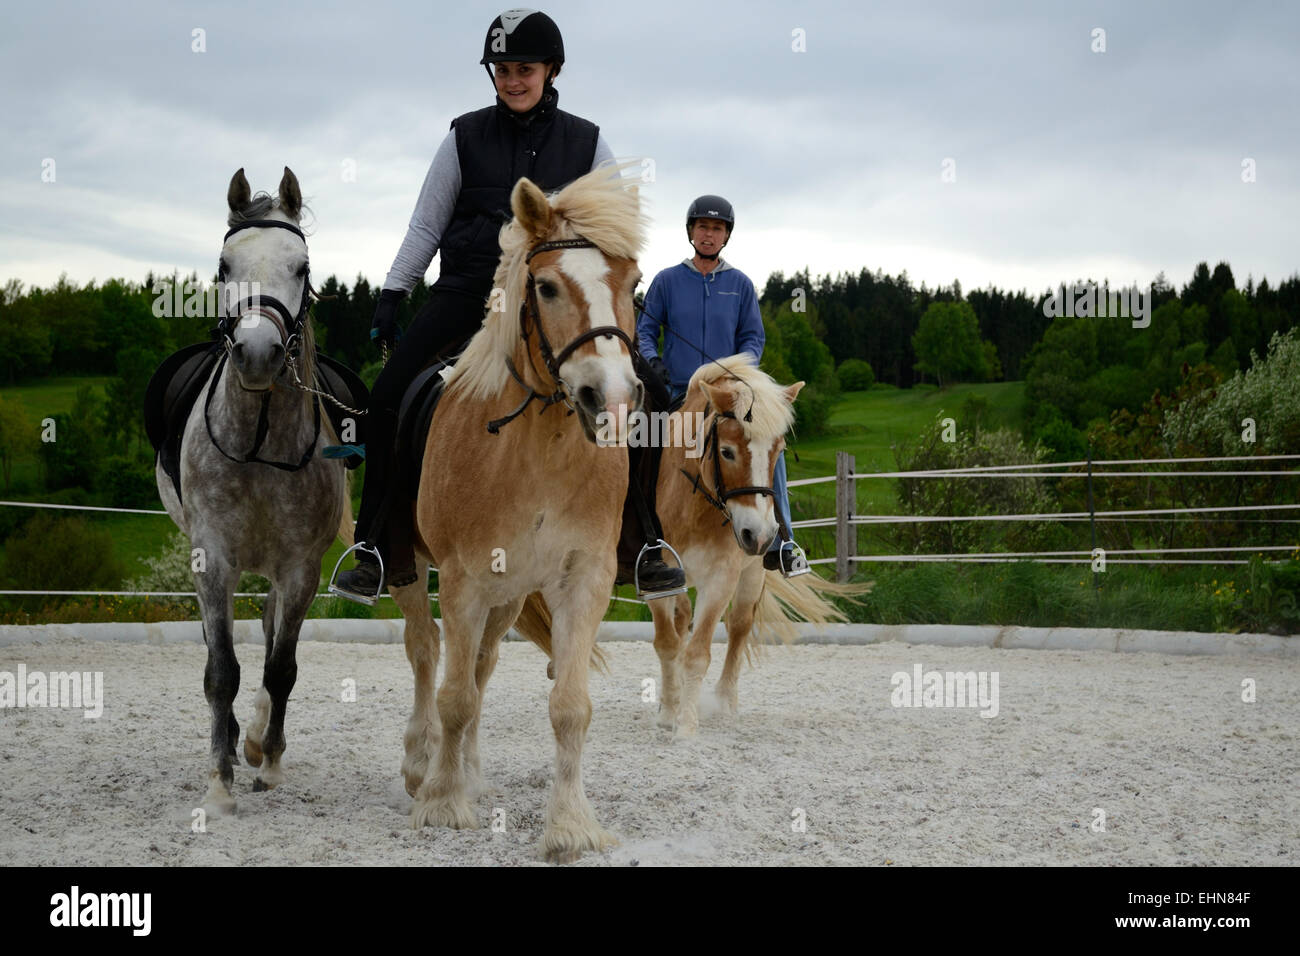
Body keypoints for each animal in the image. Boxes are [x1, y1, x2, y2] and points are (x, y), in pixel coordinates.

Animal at [155, 167, 349, 815]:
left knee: (268, 634)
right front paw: (220, 782)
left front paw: (270, 762)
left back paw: (260, 738)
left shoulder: (300, 566)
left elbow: (280, 667)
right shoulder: (213, 557)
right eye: (224, 265)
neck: (261, 437)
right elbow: (222, 669)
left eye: (302, 267)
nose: (259, 354)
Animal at [391, 164, 646, 862]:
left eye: (633, 285)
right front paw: (442, 804)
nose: (611, 399)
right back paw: (424, 766)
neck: (538, 448)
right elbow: (452, 696)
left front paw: (571, 825)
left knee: (480, 667)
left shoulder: (583, 578)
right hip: (411, 568)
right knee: (427, 655)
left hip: (507, 595)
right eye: (548, 286)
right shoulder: (461, 579)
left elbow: (568, 705)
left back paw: (469, 771)